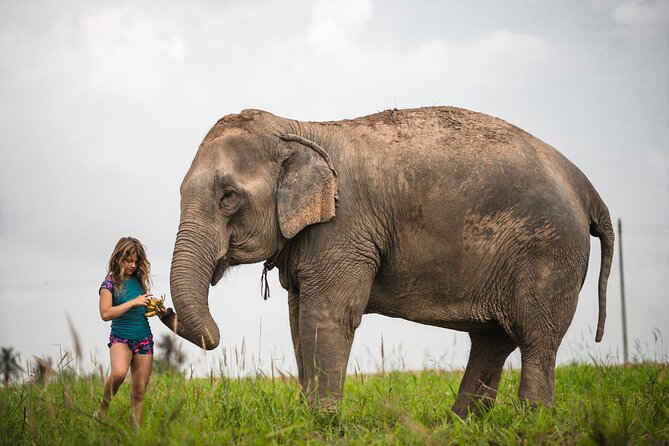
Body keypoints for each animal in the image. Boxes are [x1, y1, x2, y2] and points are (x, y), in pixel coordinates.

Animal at [159, 106, 614, 417]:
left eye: (228, 196)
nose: (159, 308)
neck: (298, 127)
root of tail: (588, 190)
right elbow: (297, 317)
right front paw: (307, 417)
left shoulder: (345, 229)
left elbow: (328, 315)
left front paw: (324, 421)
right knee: (493, 339)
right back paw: (461, 423)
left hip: (549, 253)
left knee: (537, 338)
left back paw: (530, 420)